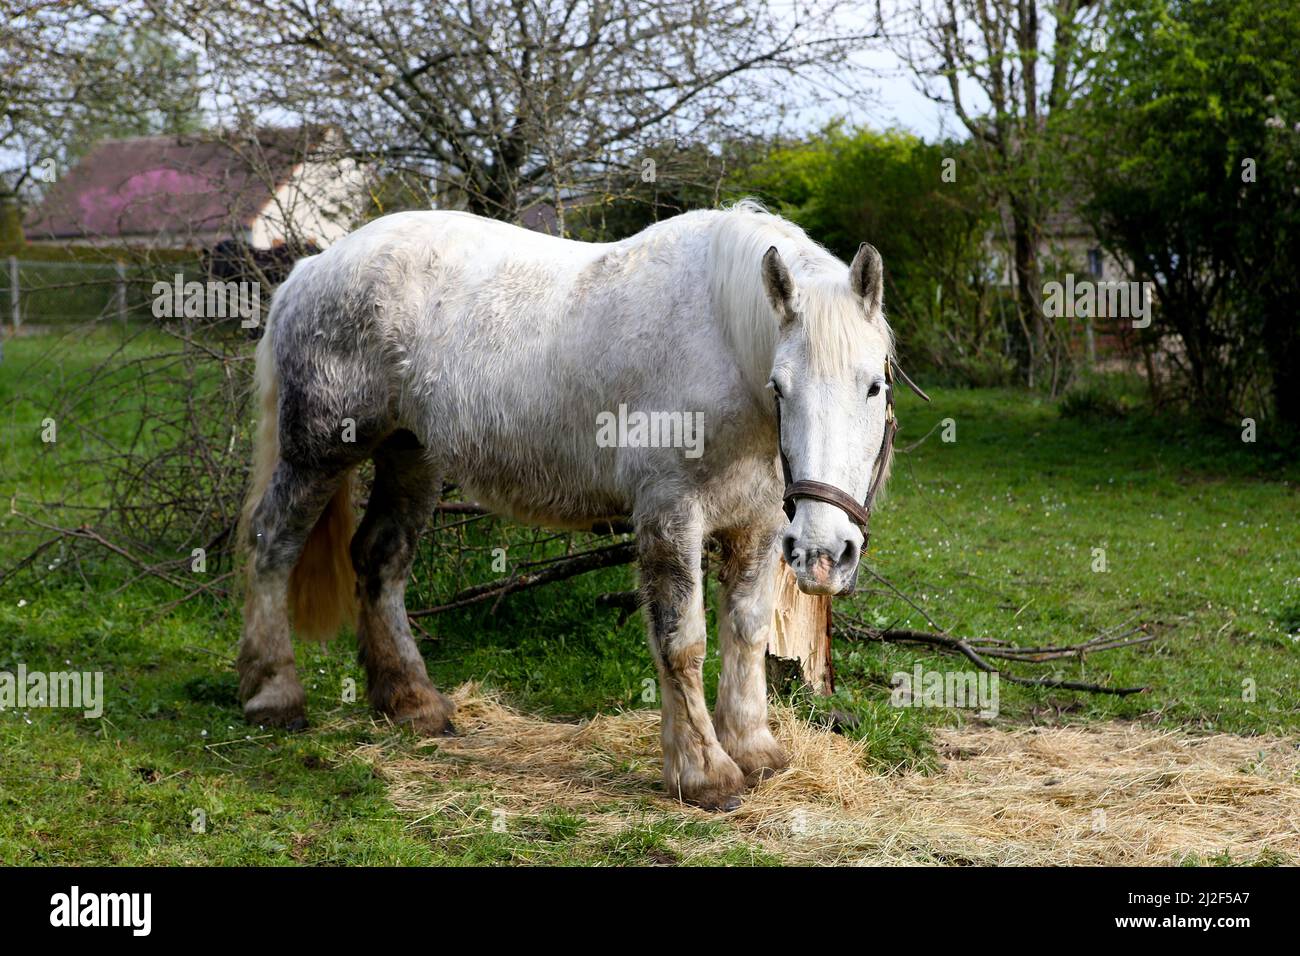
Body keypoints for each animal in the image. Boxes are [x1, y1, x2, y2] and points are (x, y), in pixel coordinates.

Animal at [237, 199, 913, 810]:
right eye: (781, 386)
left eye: (874, 385)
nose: (824, 554)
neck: (722, 344)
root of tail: (312, 269)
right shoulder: (670, 514)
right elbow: (682, 639)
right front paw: (703, 773)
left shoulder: (760, 522)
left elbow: (745, 630)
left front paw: (753, 749)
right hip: (319, 453)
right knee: (273, 546)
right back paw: (273, 693)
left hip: (411, 455)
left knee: (380, 560)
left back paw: (413, 702)